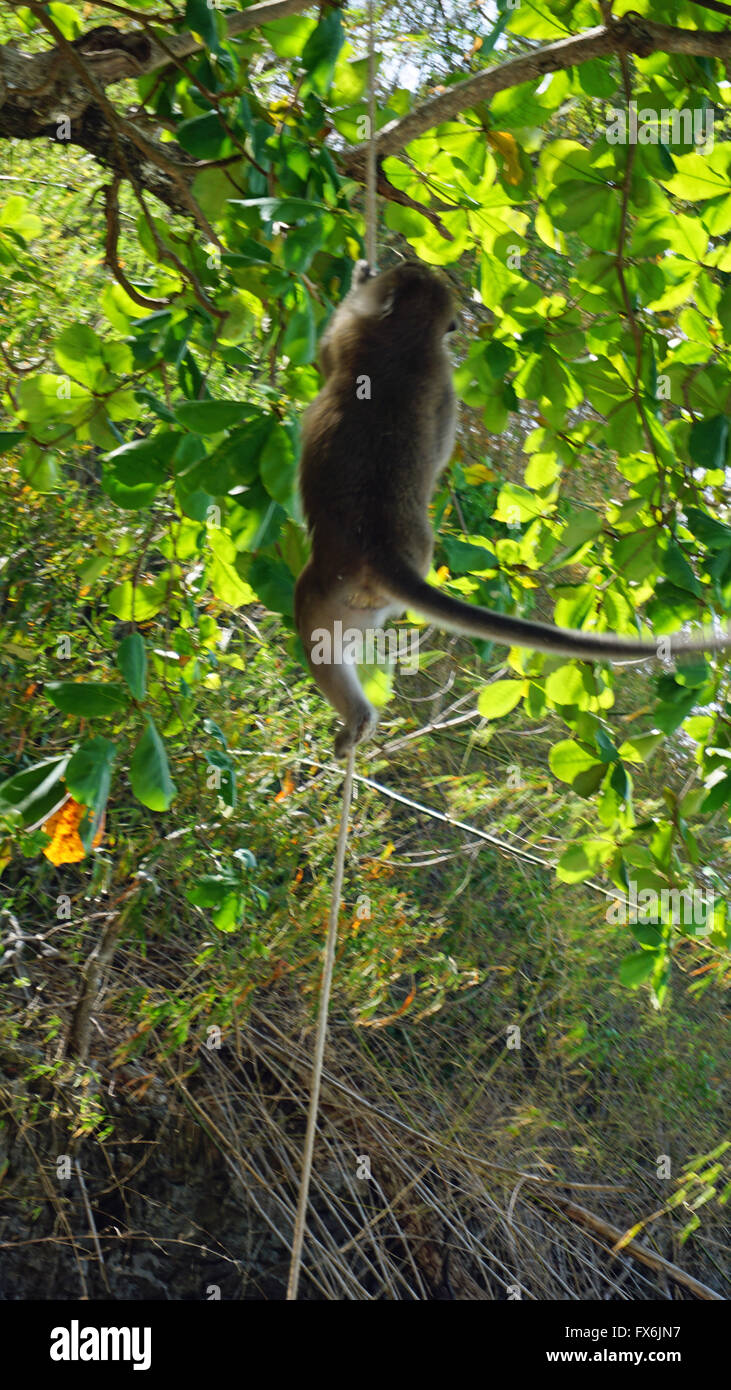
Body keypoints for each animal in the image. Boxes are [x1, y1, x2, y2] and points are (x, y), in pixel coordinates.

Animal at [294, 260, 731, 757]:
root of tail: (383, 555)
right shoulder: (444, 384)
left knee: (313, 629)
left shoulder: (353, 331)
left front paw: (358, 277)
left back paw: (353, 720)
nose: (397, 266)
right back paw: (362, 720)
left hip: (334, 590)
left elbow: (325, 355)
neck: (409, 335)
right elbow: (439, 448)